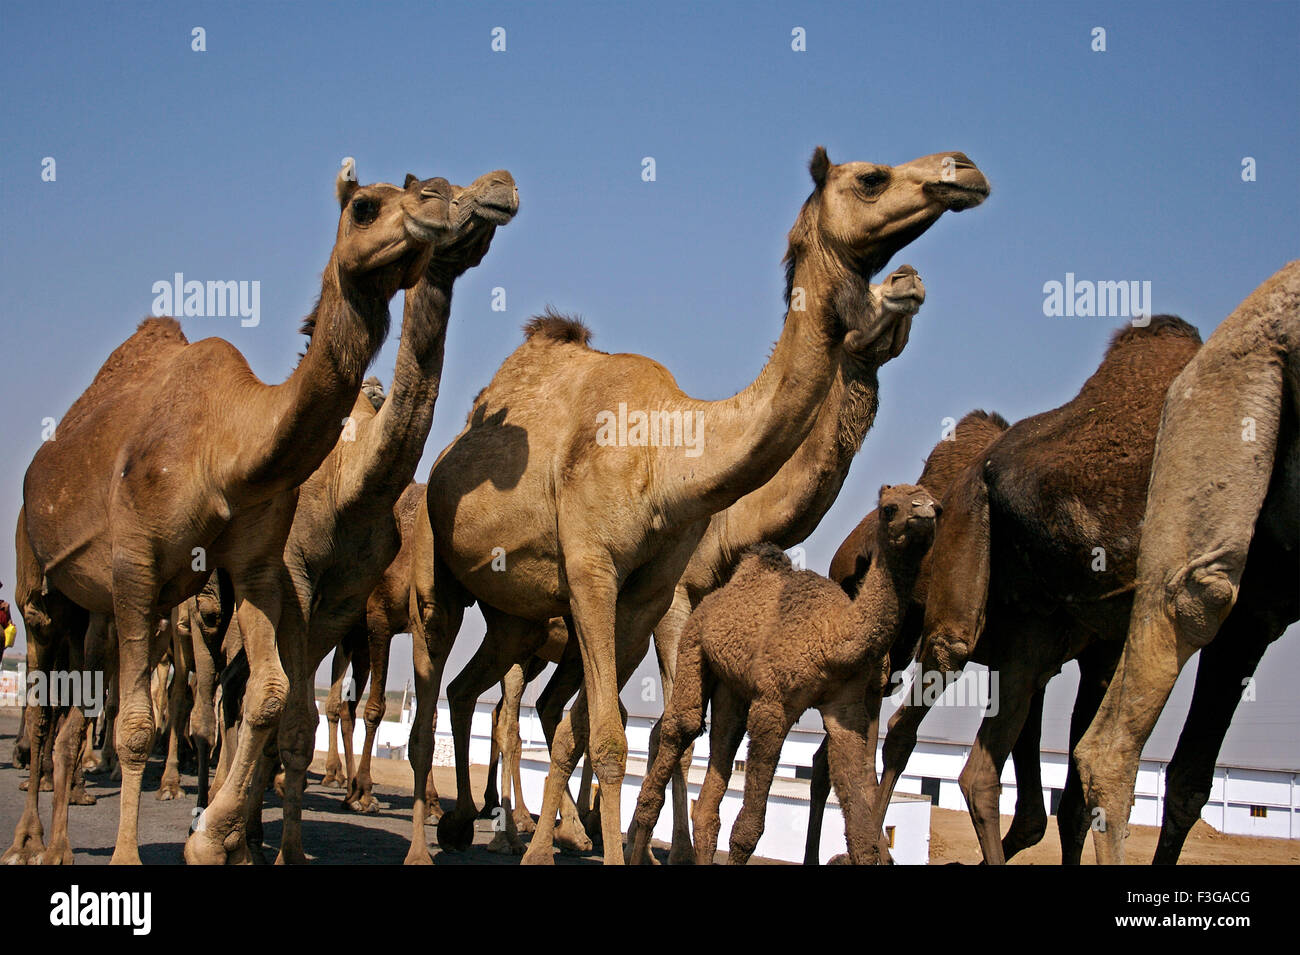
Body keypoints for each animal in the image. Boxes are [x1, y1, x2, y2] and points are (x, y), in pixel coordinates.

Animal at [5, 160, 454, 866]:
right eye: (363, 207)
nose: (439, 202)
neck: (226, 442)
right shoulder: (139, 571)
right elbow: (141, 723)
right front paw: (140, 853)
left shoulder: (265, 568)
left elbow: (271, 698)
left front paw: (221, 839)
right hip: (41, 591)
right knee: (52, 706)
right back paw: (30, 840)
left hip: (94, 610)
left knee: (86, 713)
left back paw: (62, 842)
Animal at [631, 484, 940, 864]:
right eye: (889, 508)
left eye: (938, 508)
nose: (924, 511)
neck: (833, 637)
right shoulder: (773, 704)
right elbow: (748, 829)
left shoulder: (844, 709)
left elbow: (861, 831)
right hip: (693, 644)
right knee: (682, 728)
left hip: (732, 689)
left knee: (717, 765)